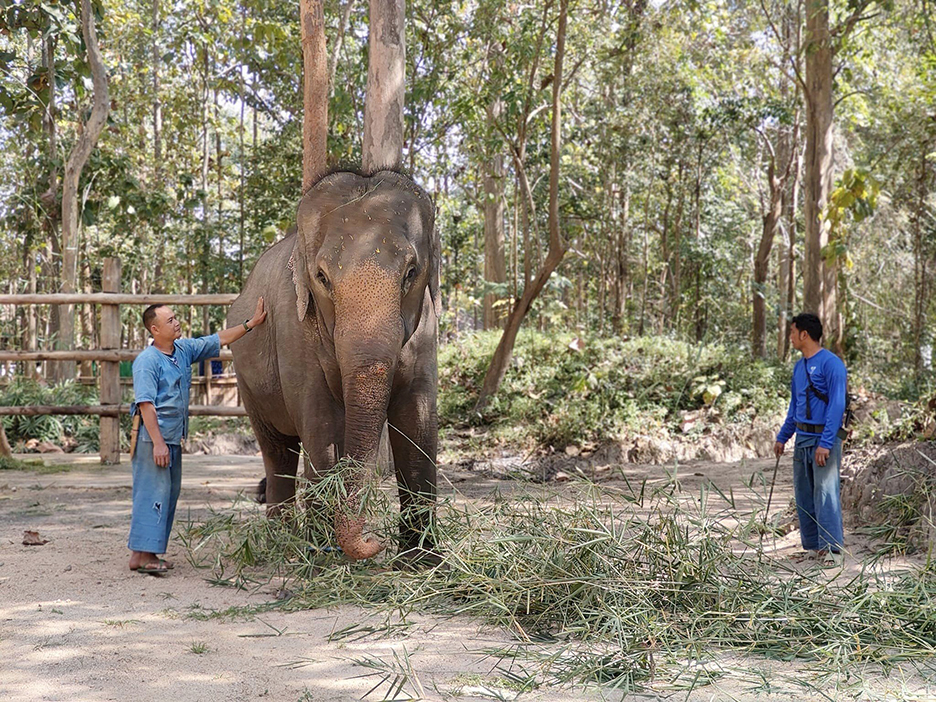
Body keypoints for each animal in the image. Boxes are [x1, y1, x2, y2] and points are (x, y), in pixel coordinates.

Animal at [227, 169, 439, 564]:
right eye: (322, 277)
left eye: (411, 272)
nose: (375, 540)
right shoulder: (294, 331)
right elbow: (321, 425)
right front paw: (323, 559)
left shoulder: (427, 332)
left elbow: (416, 422)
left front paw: (425, 563)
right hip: (247, 383)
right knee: (278, 451)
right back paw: (282, 542)